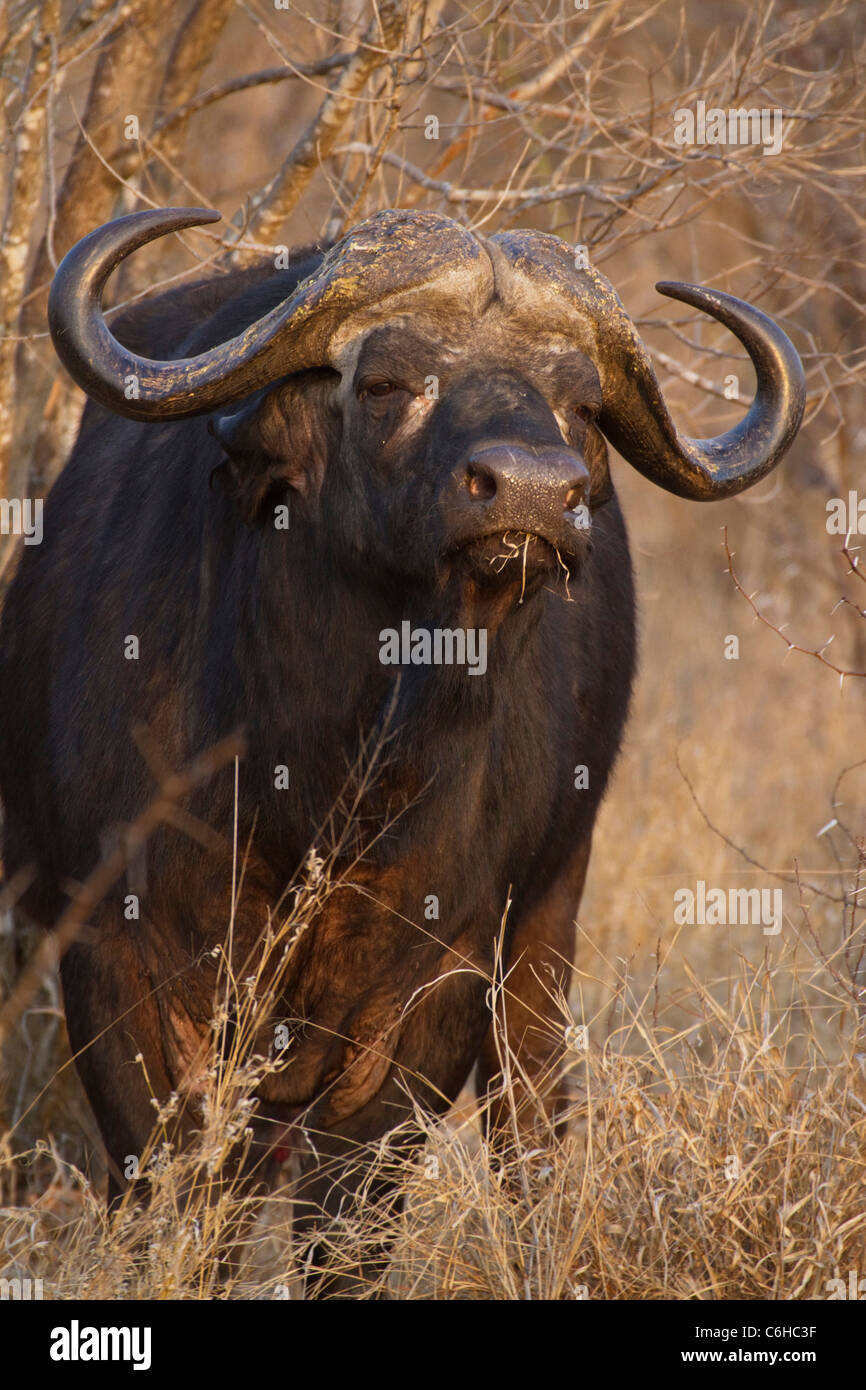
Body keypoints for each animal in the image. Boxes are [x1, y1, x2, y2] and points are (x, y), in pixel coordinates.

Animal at [0, 206, 805, 1293]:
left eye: (580, 405)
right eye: (385, 381)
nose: (533, 493)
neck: (325, 778)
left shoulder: (433, 988)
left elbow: (350, 1216)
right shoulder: (113, 956)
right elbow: (175, 1191)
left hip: (545, 929)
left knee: (529, 1123)